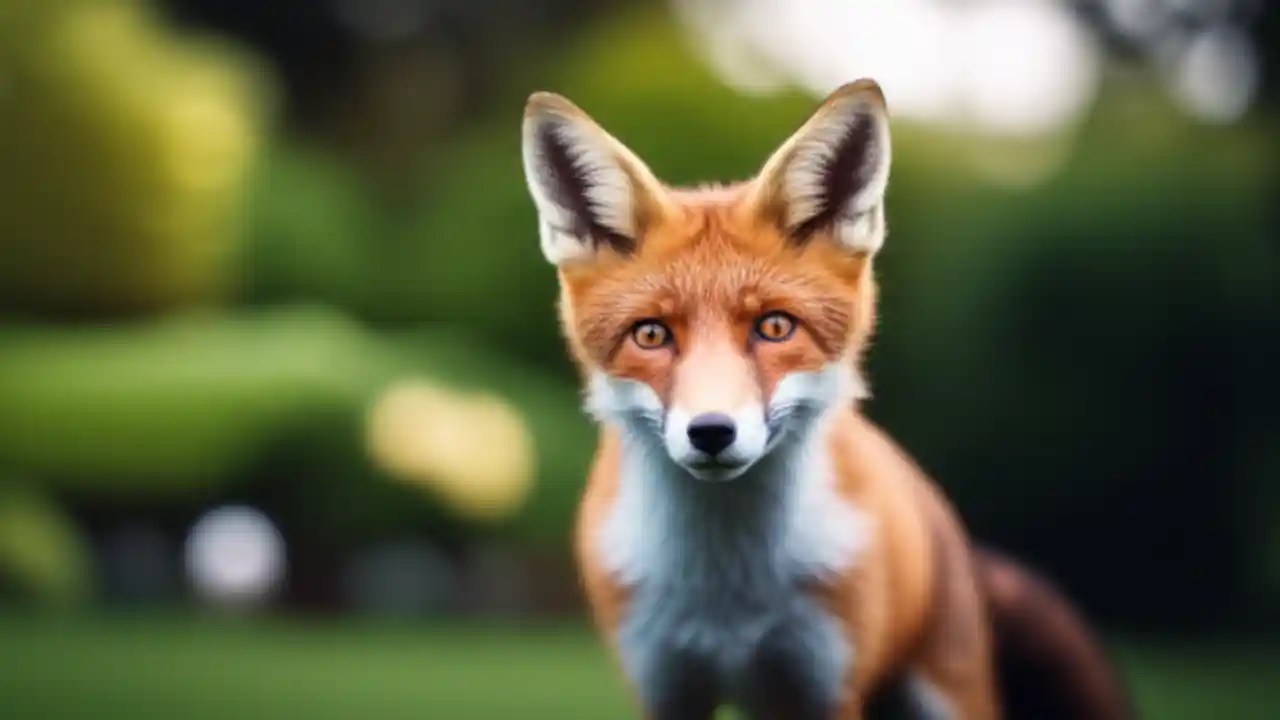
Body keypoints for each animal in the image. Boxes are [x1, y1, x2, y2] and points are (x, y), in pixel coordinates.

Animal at [520, 79, 1131, 719]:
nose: (711, 432)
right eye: (650, 335)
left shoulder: (824, 684)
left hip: (947, 696)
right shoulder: (665, 685)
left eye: (774, 327)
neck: (729, 591)